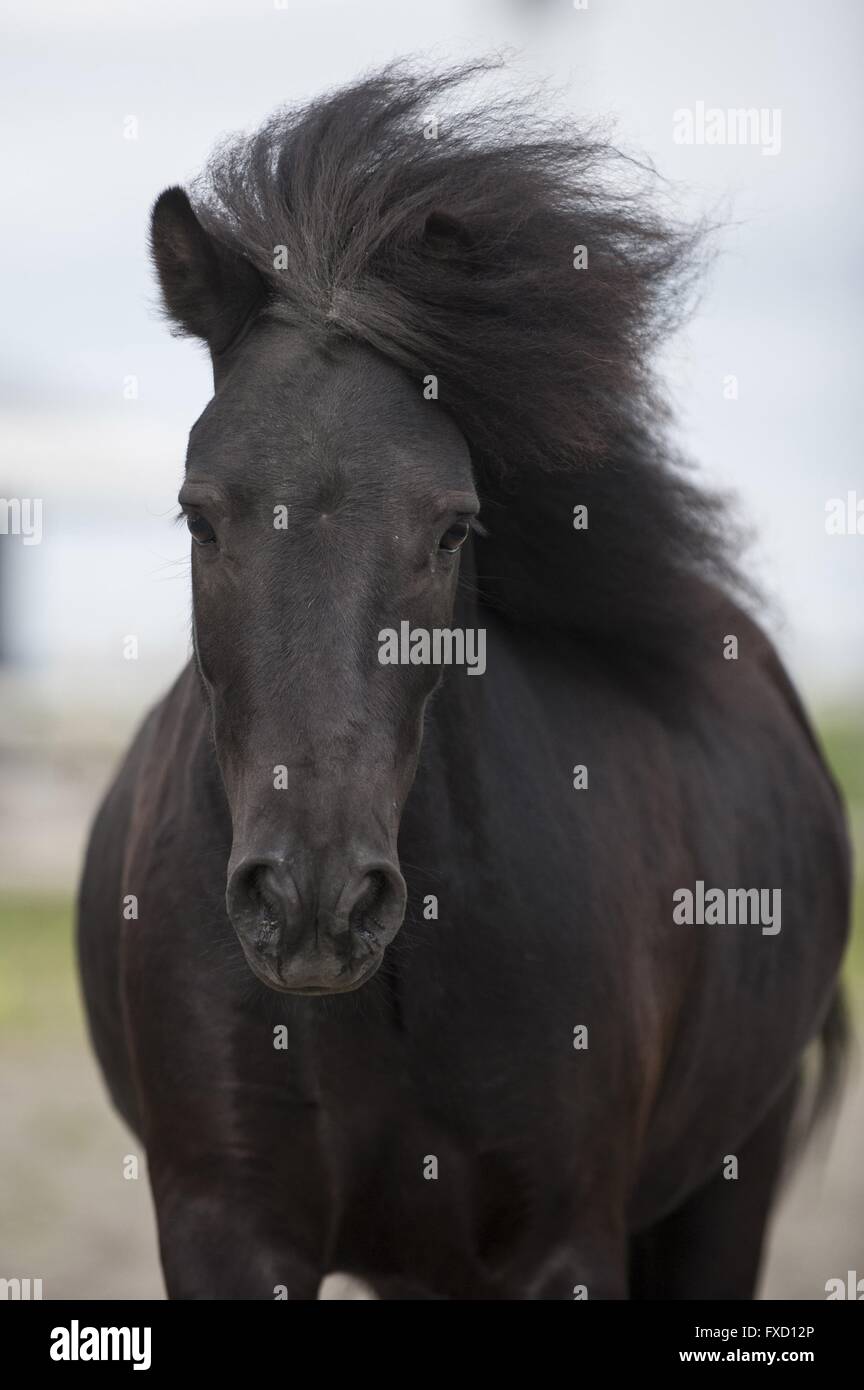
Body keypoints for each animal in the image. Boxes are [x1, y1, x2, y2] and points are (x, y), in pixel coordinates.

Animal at [77, 64, 850, 1300]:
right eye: (200, 515)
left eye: (451, 528)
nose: (314, 903)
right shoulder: (227, 1228)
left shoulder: (563, 1244)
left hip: (732, 1180)